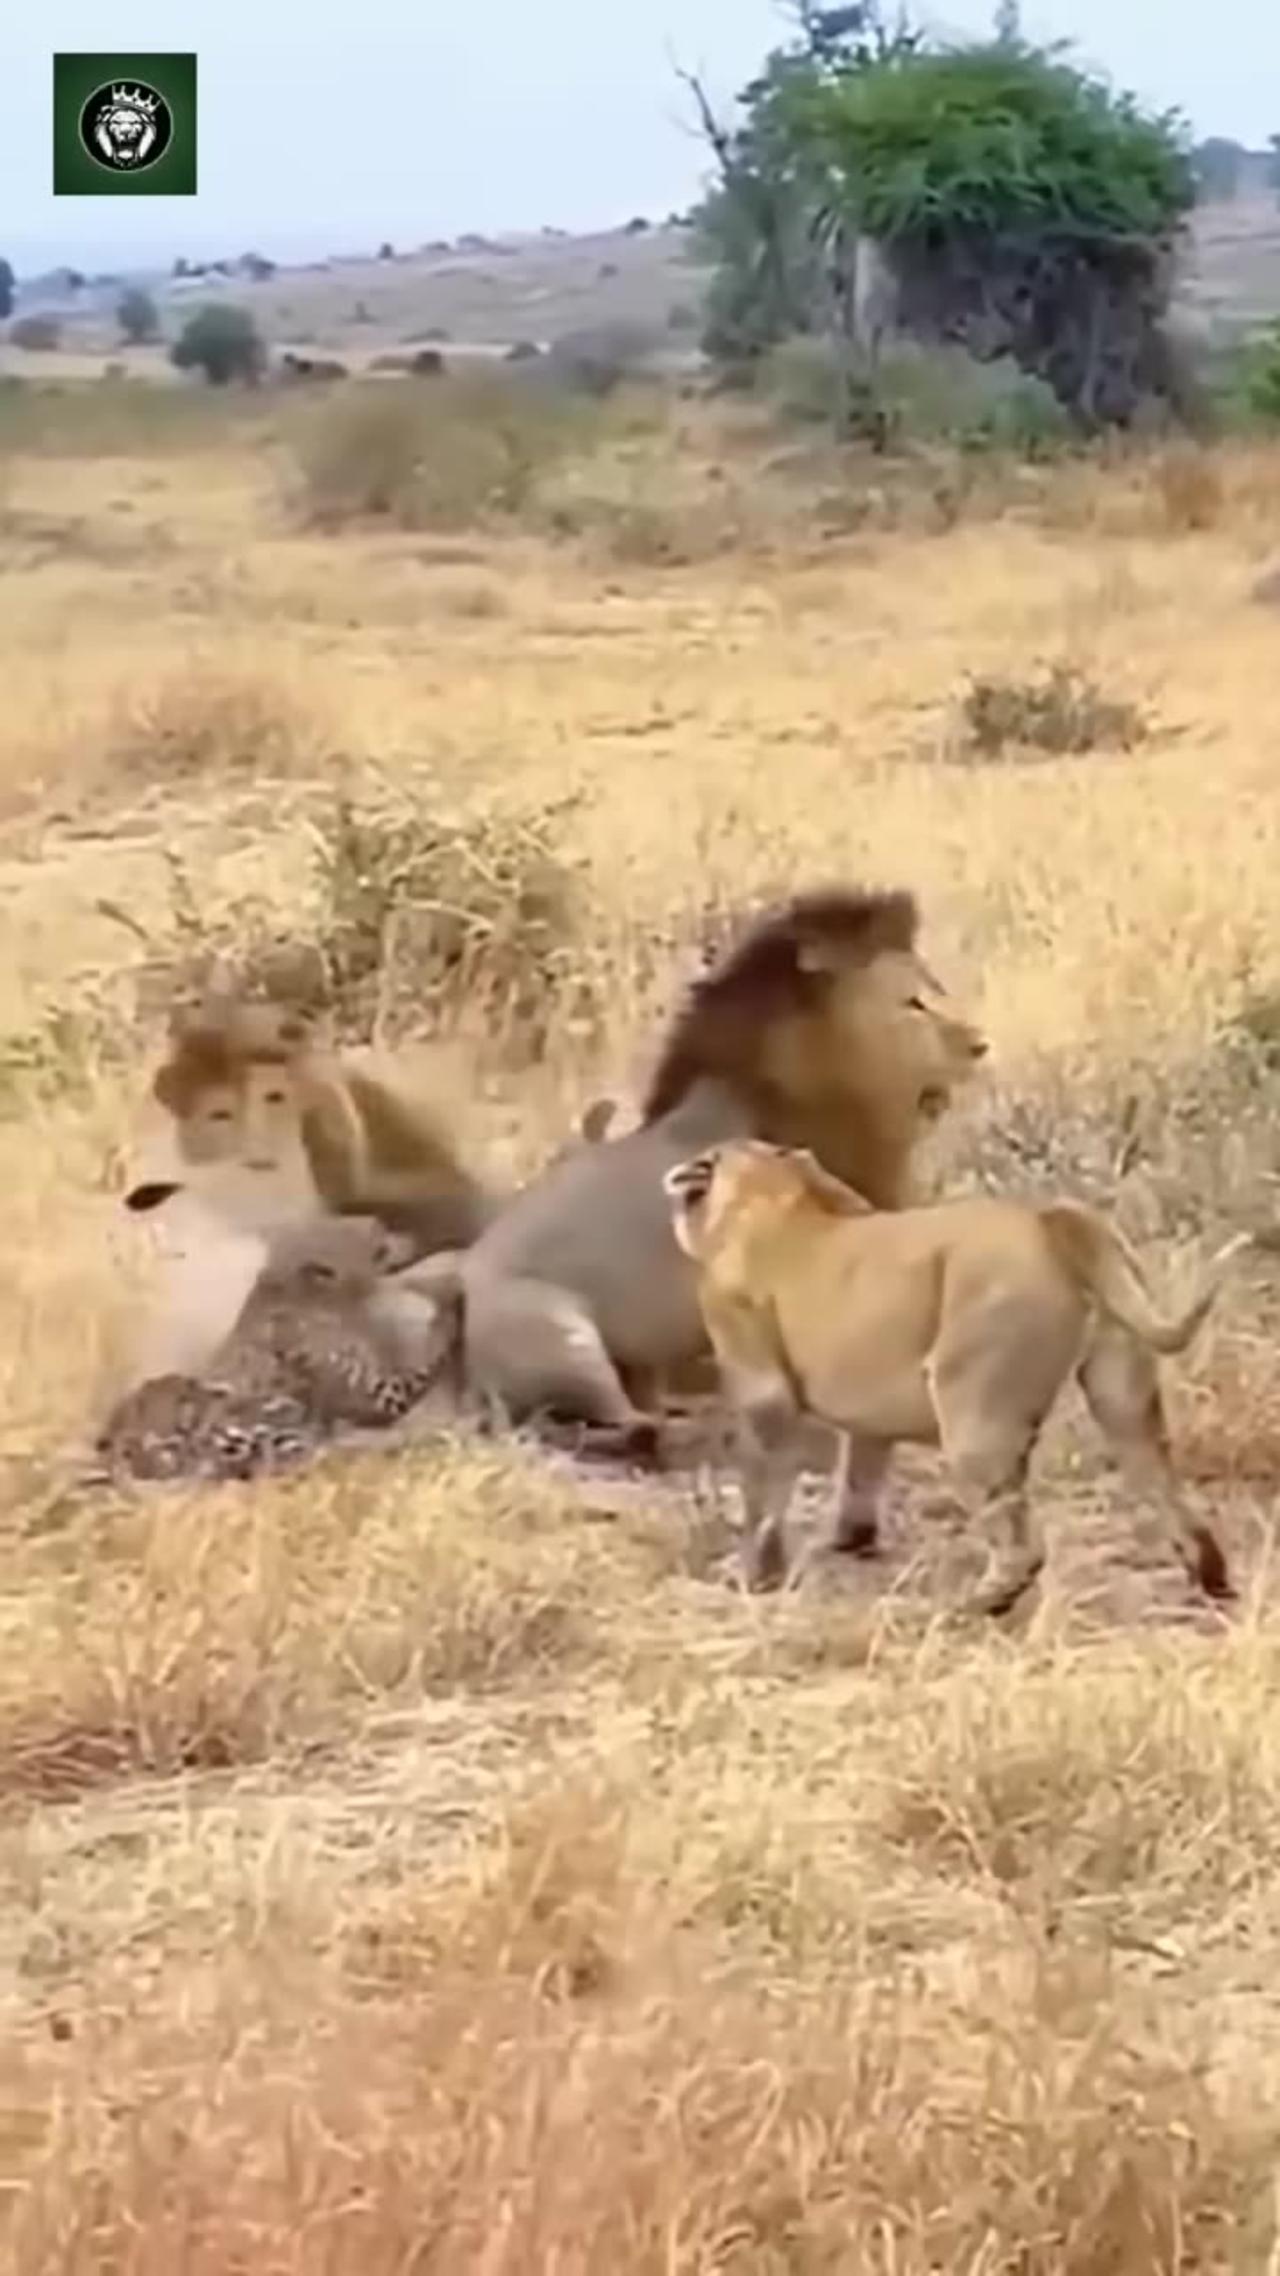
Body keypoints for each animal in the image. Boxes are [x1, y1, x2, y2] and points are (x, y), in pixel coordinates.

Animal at [402, 887, 988, 1524]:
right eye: (914, 1002)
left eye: (934, 988)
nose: (981, 1044)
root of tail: (462, 1278)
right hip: (560, 1333)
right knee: (591, 1420)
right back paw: (669, 1434)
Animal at [663, 1138, 1252, 1613]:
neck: (772, 1187)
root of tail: (1050, 1220)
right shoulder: (867, 1420)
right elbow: (859, 1474)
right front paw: (850, 1542)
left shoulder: (763, 1392)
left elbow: (764, 1493)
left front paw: (754, 1575)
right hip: (1123, 1400)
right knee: (1167, 1491)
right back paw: (1212, 1579)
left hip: (973, 1417)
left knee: (1022, 1546)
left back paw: (974, 1605)